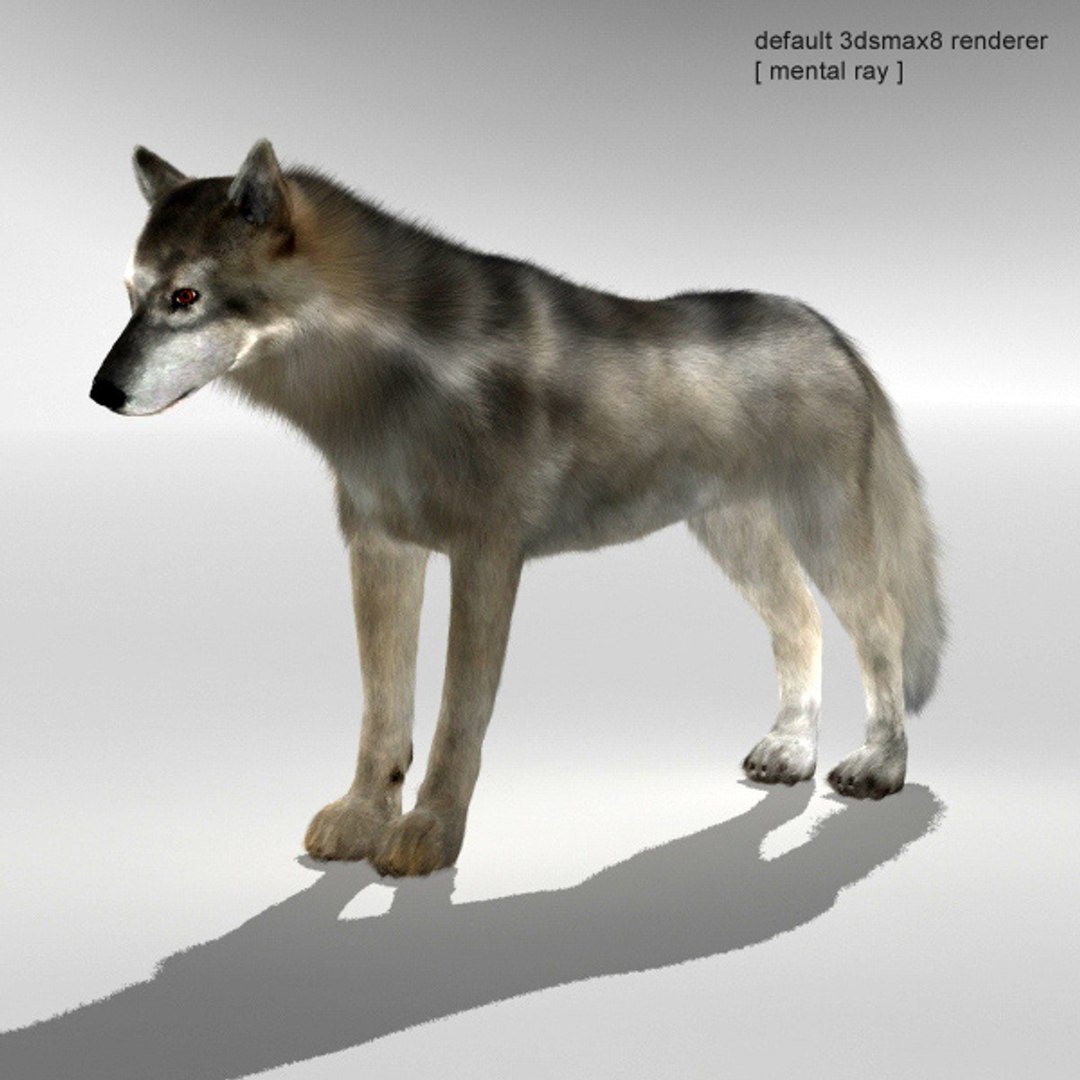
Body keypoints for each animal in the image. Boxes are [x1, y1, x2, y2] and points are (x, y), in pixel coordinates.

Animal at [91, 140, 945, 876]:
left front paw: (429, 834)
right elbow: (382, 713)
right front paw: (364, 818)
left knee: (881, 630)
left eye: (186, 296)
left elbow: (455, 721)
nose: (101, 392)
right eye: (131, 298)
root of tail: (831, 332)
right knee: (799, 623)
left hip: (822, 532)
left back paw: (880, 765)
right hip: (734, 536)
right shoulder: (380, 549)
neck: (384, 384)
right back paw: (789, 752)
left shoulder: (485, 560)